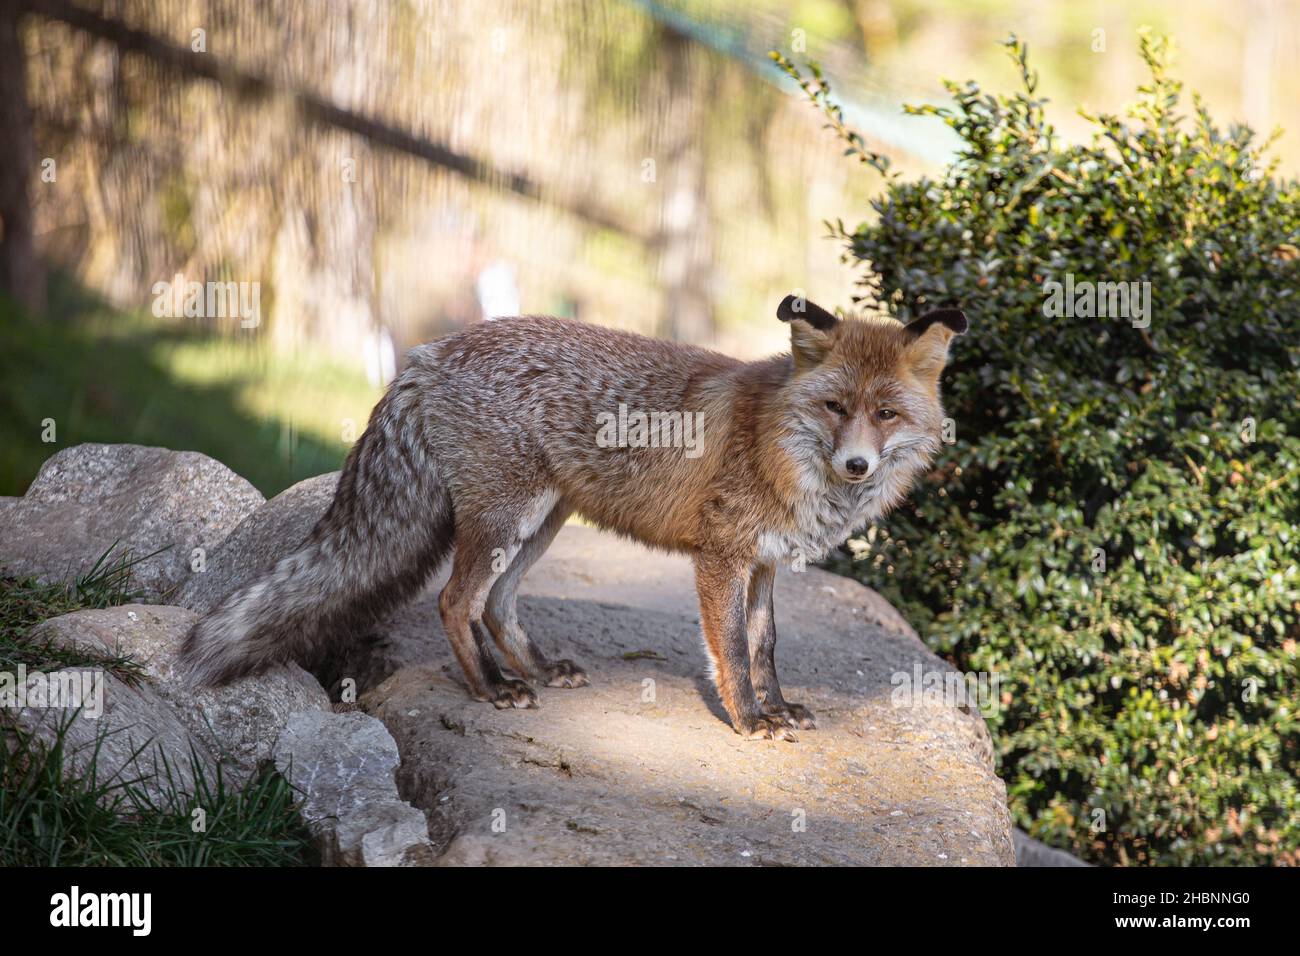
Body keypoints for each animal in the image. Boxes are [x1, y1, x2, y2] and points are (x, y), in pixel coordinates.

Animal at [180, 295, 966, 741]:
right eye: (835, 407)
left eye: (886, 414)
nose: (856, 467)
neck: (778, 442)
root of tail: (429, 351)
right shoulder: (720, 557)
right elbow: (734, 654)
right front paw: (749, 720)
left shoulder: (768, 562)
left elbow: (766, 648)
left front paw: (780, 708)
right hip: (508, 518)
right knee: (454, 599)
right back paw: (491, 688)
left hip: (542, 524)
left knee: (494, 604)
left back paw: (530, 669)